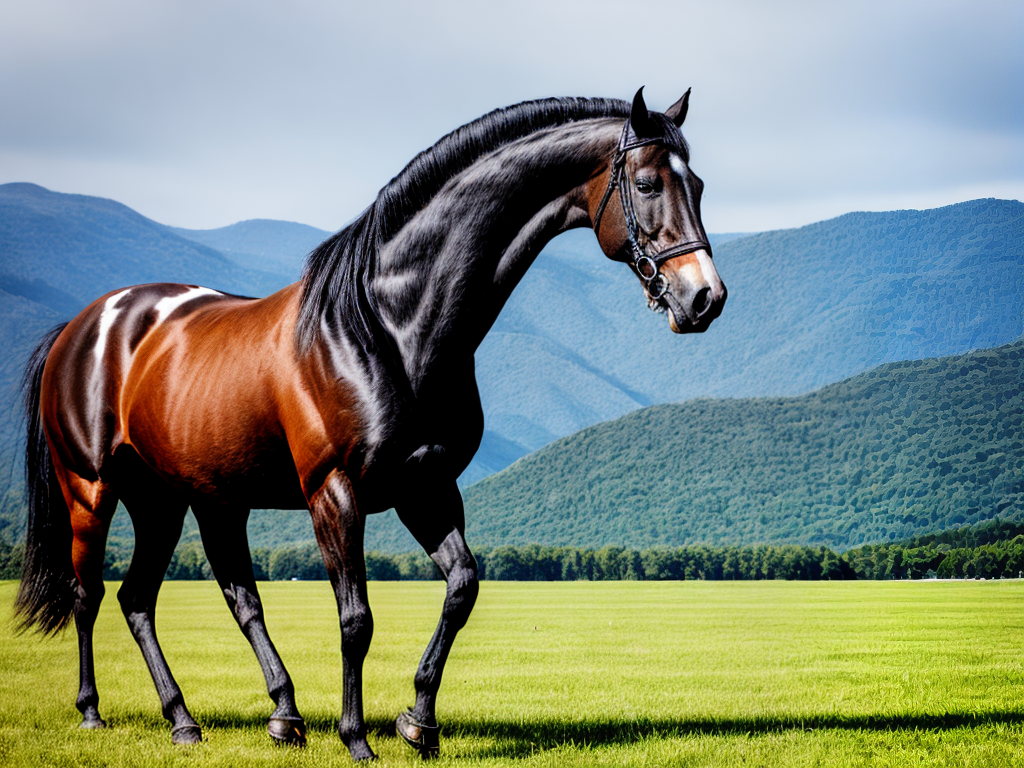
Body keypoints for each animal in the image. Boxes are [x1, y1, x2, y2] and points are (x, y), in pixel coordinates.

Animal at [16, 88, 726, 761]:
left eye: (696, 185)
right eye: (647, 183)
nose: (705, 298)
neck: (385, 327)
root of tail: (81, 327)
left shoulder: (426, 487)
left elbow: (462, 587)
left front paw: (419, 723)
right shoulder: (335, 494)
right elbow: (355, 619)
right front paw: (357, 737)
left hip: (184, 501)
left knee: (171, 599)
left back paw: (226, 719)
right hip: (93, 492)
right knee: (89, 594)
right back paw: (94, 710)